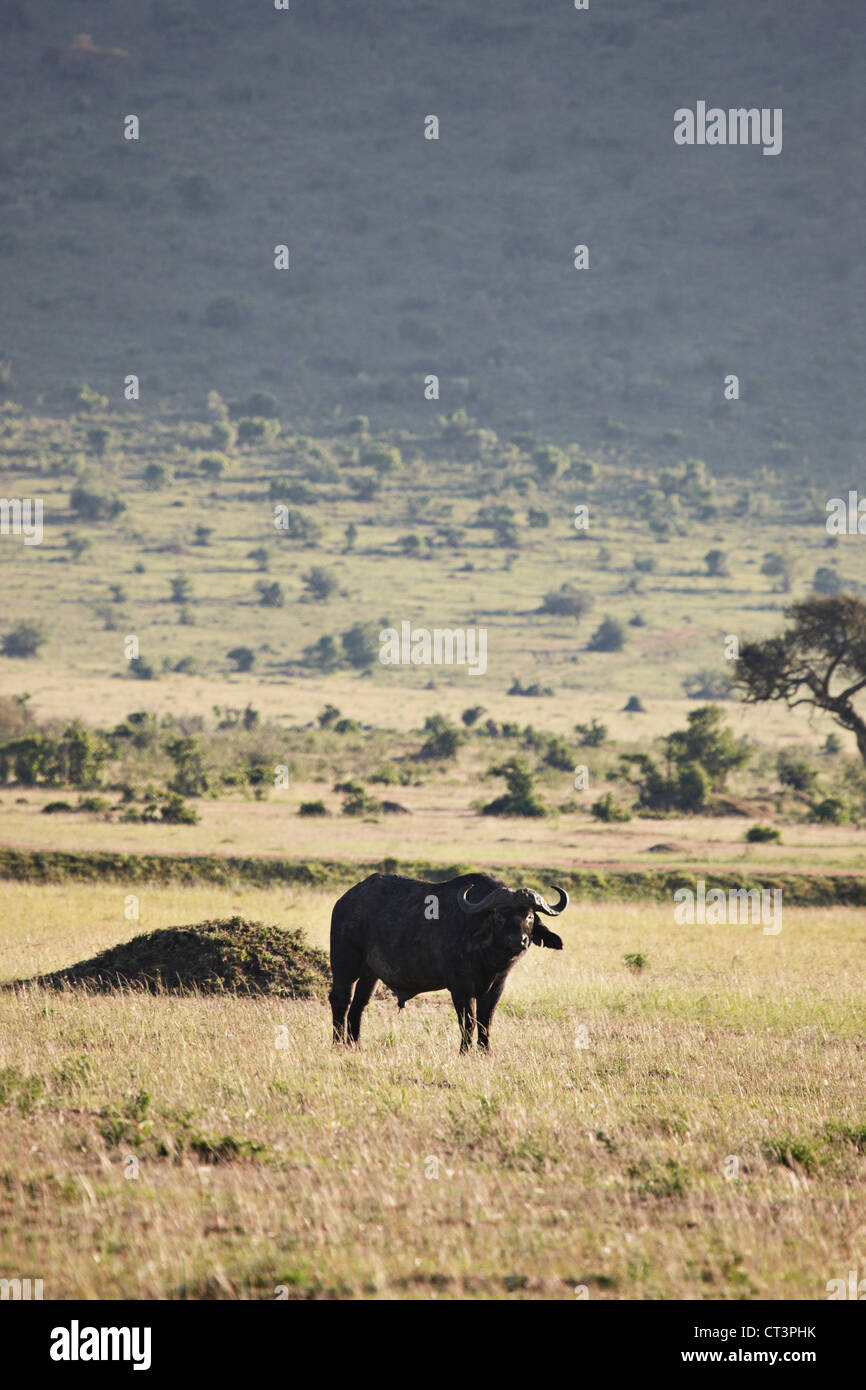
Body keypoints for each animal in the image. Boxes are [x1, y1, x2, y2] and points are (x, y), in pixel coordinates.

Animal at [329, 871, 568, 1052]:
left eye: (529, 916)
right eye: (499, 916)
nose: (518, 940)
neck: (489, 958)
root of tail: (344, 901)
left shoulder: (497, 985)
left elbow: (486, 1020)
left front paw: (485, 1050)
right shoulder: (460, 986)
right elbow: (468, 1020)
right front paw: (464, 1051)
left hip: (370, 973)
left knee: (359, 1004)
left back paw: (354, 1044)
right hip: (345, 966)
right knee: (341, 999)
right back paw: (337, 1043)